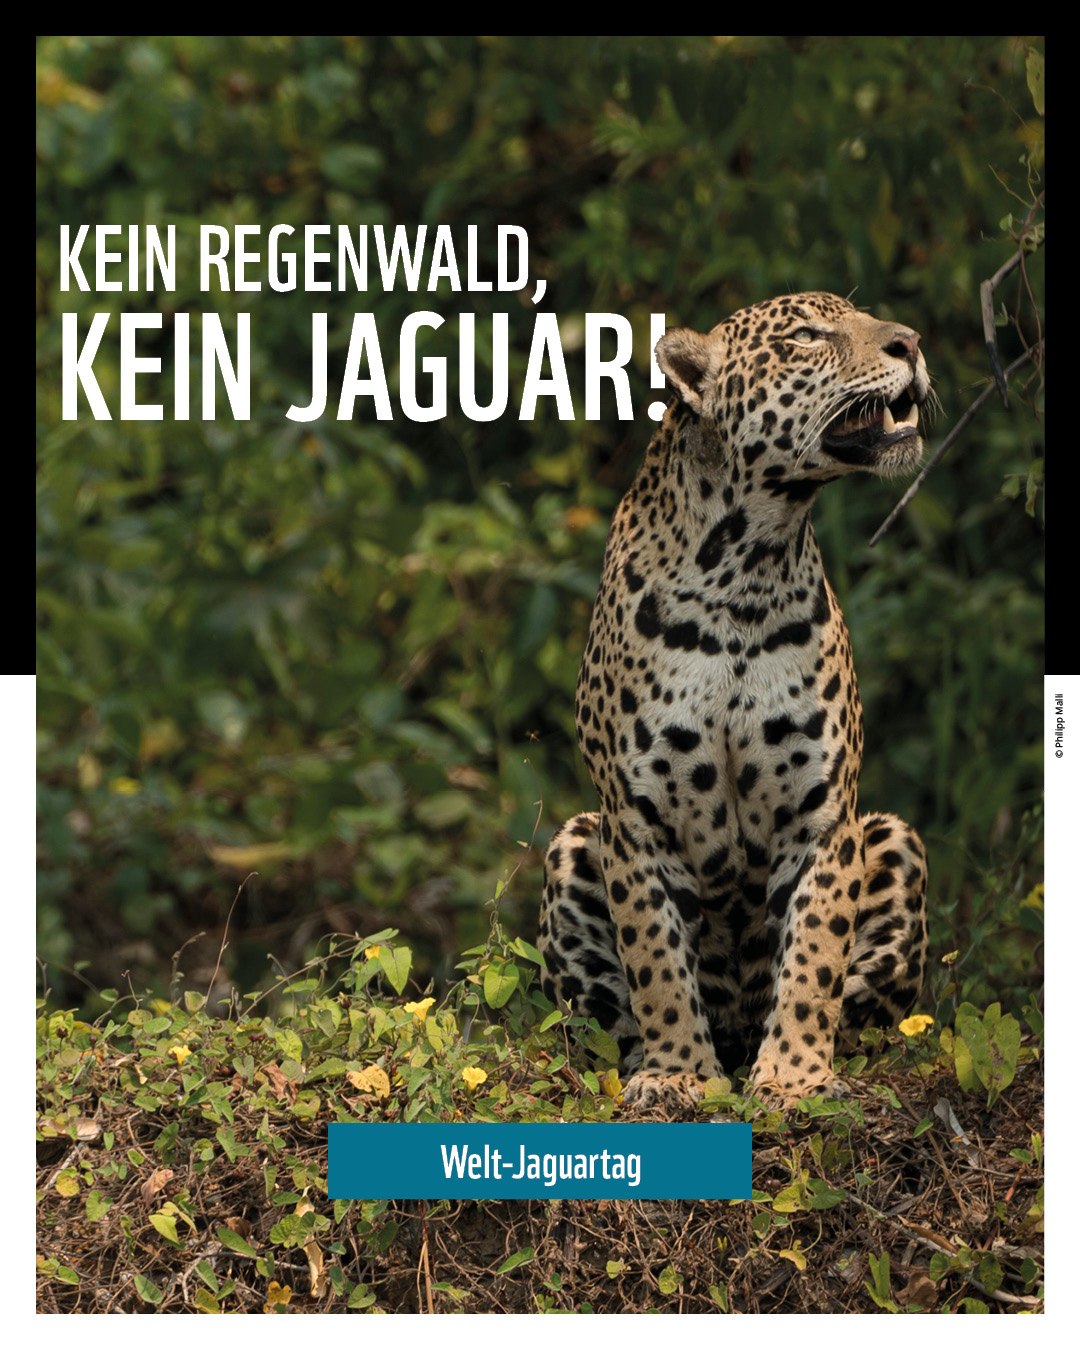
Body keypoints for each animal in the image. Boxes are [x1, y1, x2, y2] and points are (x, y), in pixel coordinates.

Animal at [537, 292, 931, 1111]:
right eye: (807, 336)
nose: (911, 342)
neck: (745, 568)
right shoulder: (634, 821)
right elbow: (656, 960)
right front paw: (679, 1075)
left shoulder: (824, 817)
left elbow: (813, 957)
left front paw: (796, 1076)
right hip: (572, 844)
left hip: (894, 839)